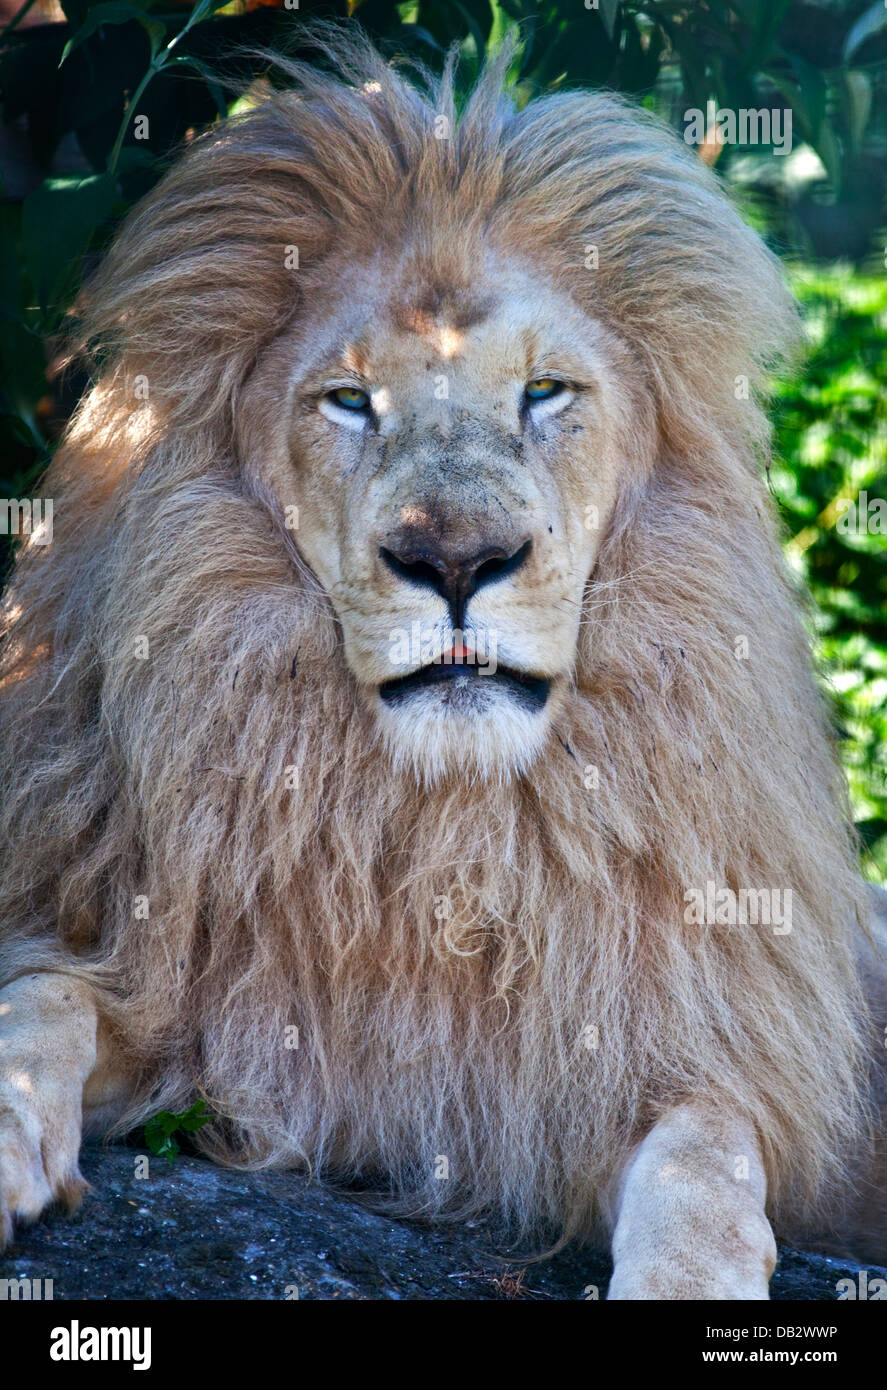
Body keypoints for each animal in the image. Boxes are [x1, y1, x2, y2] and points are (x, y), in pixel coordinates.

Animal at [0, 31, 884, 1300]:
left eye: (545, 392)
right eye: (348, 402)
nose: (455, 557)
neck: (438, 832)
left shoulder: (642, 1058)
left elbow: (705, 1146)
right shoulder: (190, 1008)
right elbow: (44, 995)